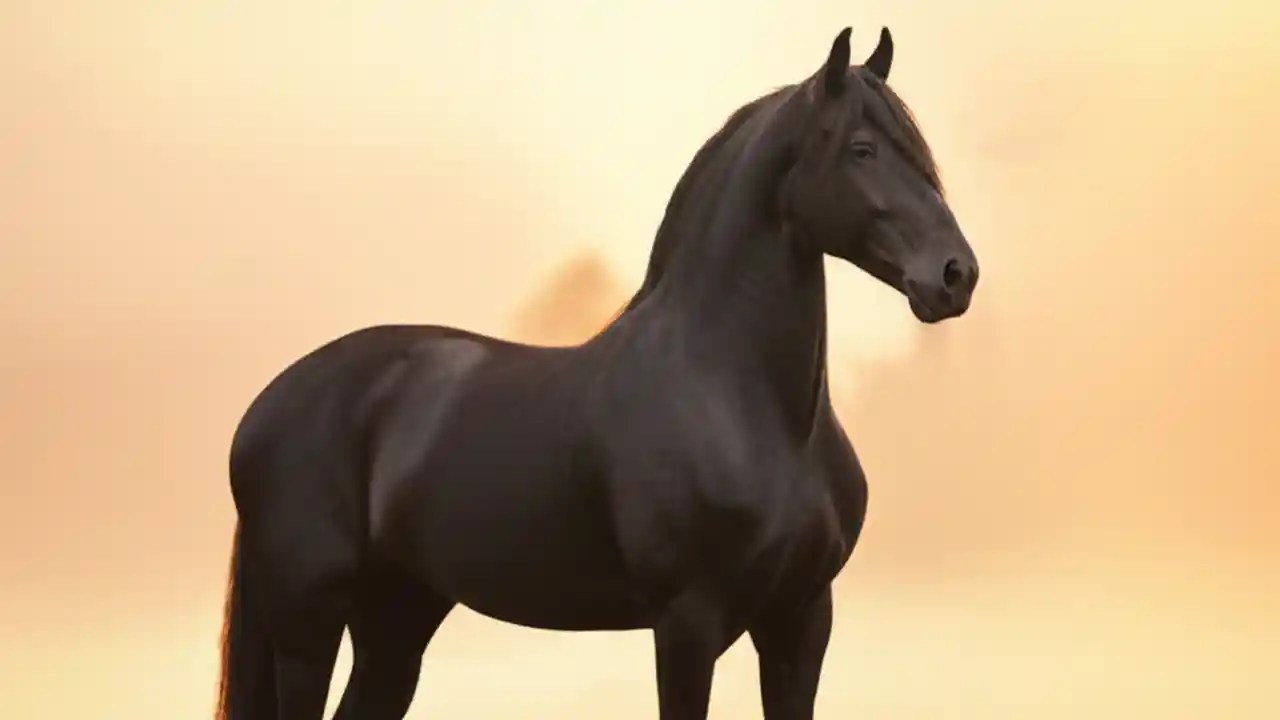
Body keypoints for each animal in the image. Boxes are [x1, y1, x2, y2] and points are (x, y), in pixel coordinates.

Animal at [215, 26, 978, 720]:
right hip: (307, 629)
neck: (752, 409)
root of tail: (264, 407)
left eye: (920, 156)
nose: (955, 275)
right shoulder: (687, 623)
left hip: (396, 623)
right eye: (861, 150)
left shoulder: (802, 619)